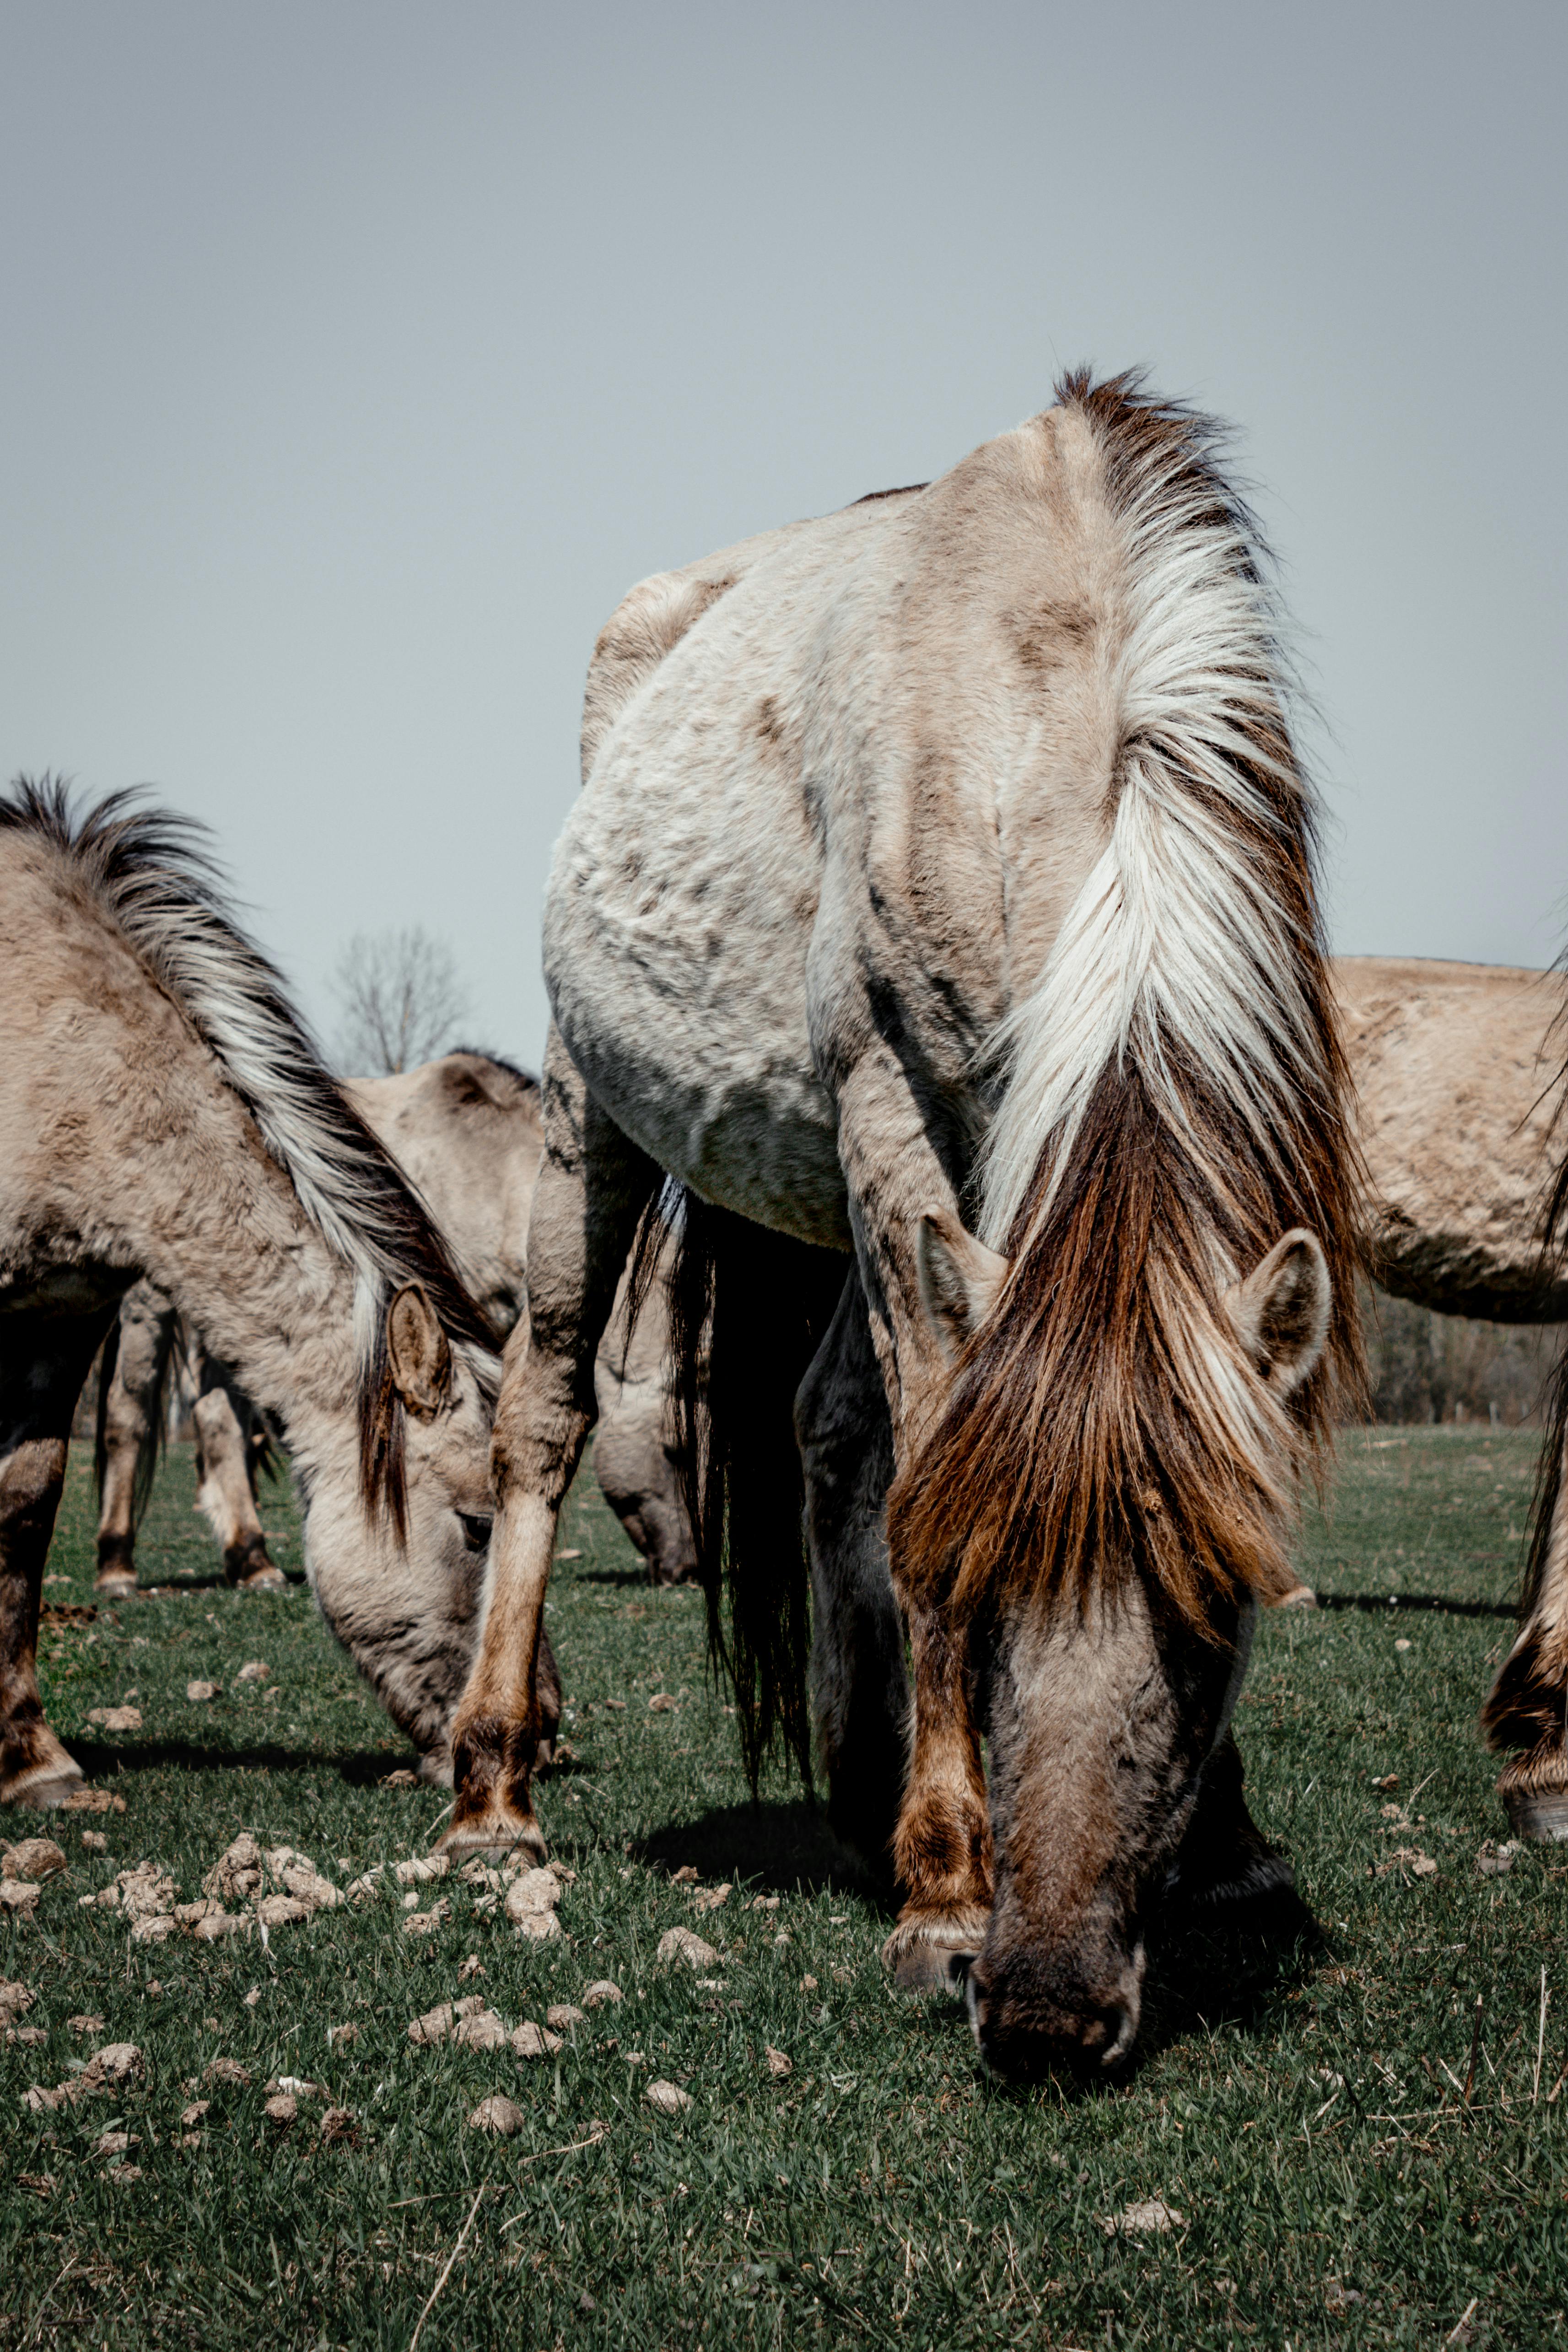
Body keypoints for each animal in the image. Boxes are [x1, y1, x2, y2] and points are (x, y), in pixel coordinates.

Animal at [0, 780, 511, 1807]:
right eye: (477, 1525)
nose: (537, 1734)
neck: (52, 1050)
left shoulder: (56, 1318)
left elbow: (24, 1508)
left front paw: (32, 1760)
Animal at [439, 371, 1365, 2080]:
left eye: (1218, 1614)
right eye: (990, 1590)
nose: (1048, 2001)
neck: (1034, 698)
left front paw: (1222, 1844)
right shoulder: (895, 1122)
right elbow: (933, 1460)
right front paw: (944, 1895)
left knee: (824, 1430)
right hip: (586, 1116)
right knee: (541, 1412)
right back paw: (492, 1794)